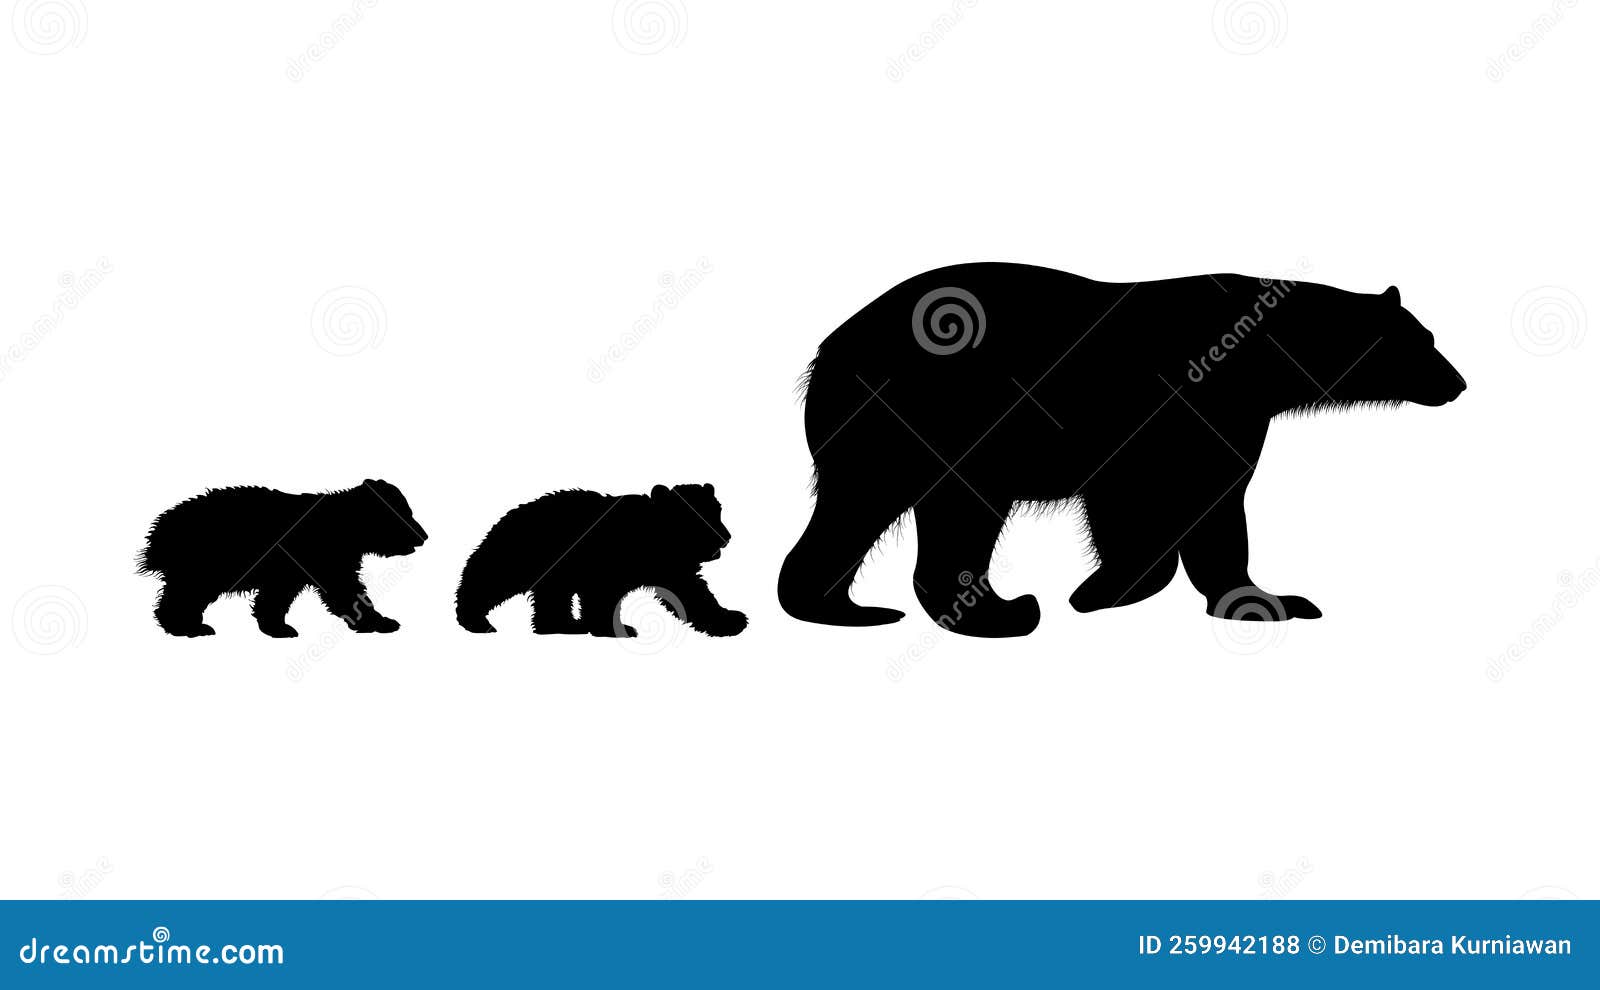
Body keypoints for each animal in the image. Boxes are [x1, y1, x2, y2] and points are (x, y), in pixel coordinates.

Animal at [138, 479, 428, 638]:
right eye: (405, 513)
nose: (423, 536)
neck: (343, 527)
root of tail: (160, 532)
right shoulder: (323, 555)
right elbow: (344, 589)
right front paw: (380, 621)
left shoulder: (290, 568)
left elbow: (276, 595)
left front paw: (278, 627)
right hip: (204, 558)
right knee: (187, 591)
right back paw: (186, 627)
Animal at [455, 483, 747, 639]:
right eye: (700, 518)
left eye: (718, 512)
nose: (726, 537)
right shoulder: (608, 561)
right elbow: (602, 595)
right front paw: (617, 628)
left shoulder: (669, 566)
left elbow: (691, 592)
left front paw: (729, 618)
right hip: (525, 553)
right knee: (491, 576)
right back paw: (476, 620)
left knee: (553, 594)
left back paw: (563, 626)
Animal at [778, 262, 1466, 638]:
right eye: (1424, 341)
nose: (1458, 383)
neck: (1261, 357)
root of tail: (826, 351)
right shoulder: (1183, 403)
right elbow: (1156, 501)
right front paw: (1104, 589)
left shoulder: (1224, 418)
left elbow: (1204, 502)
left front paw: (1266, 600)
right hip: (928, 423)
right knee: (926, 511)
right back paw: (1002, 613)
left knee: (869, 511)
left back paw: (850, 607)